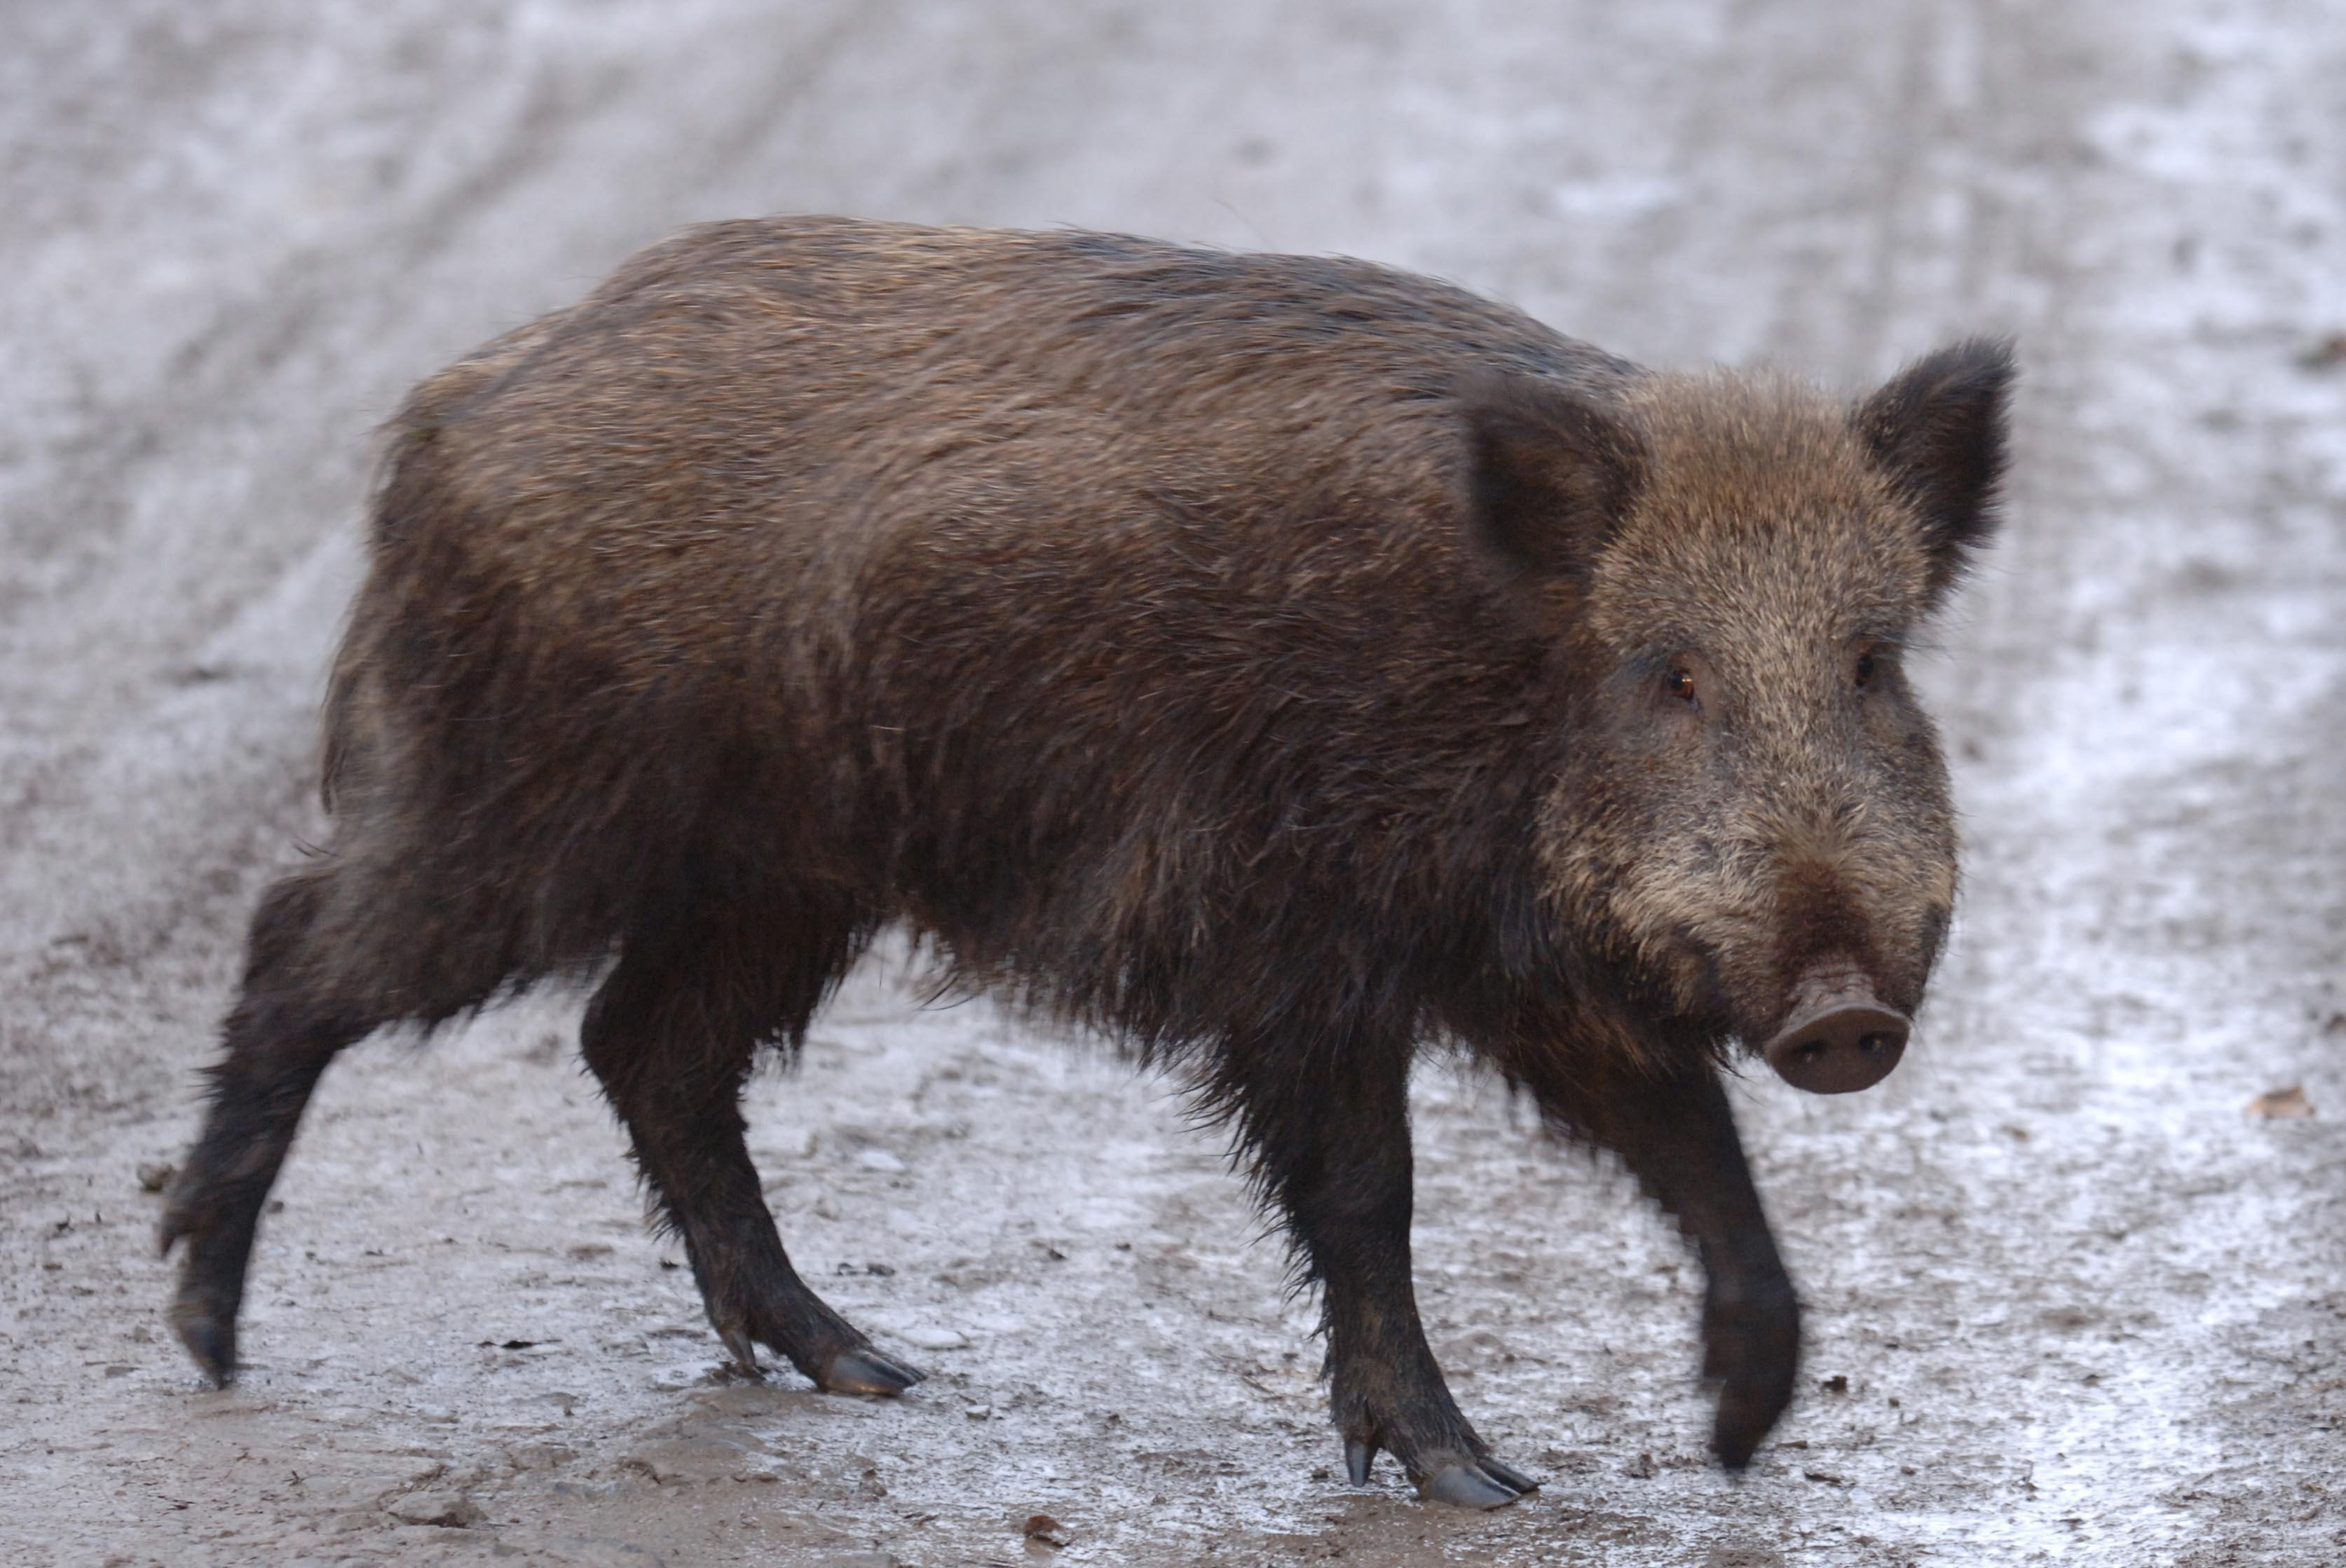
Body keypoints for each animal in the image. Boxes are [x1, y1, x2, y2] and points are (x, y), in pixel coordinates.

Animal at [162, 217, 2010, 1509]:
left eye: (1868, 660)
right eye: (1670, 673)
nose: (1843, 1011)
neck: (1495, 682)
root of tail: (447, 408)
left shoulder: (1529, 970)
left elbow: (1699, 1154)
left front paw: (1737, 1433)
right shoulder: (1299, 948)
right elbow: (1370, 1193)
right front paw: (1472, 1480)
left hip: (778, 875)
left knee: (645, 1043)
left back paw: (867, 1369)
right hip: (524, 808)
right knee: (297, 945)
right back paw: (209, 1335)